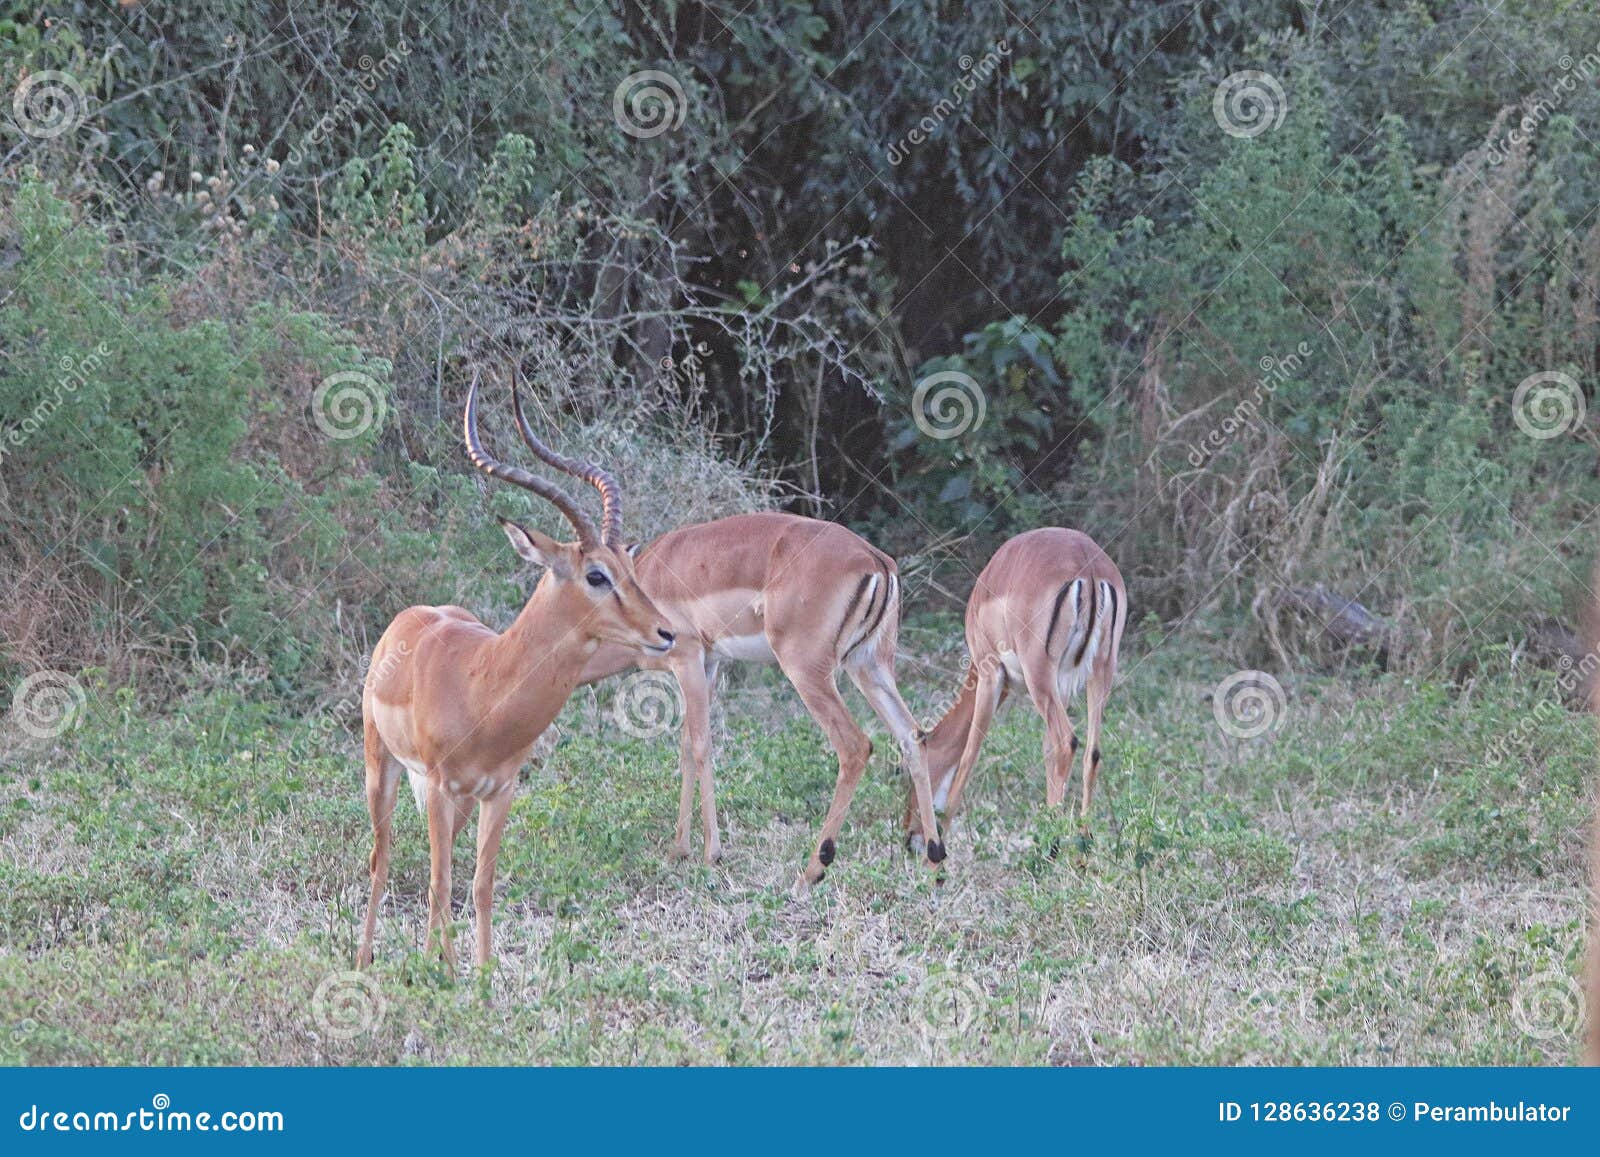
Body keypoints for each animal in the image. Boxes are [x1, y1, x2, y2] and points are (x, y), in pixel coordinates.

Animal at [357, 369, 676, 970]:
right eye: (596, 575)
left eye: (629, 564)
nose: (665, 632)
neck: (486, 685)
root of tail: (411, 618)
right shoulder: (441, 786)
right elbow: (440, 880)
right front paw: (441, 975)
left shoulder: (497, 792)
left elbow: (479, 884)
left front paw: (478, 977)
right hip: (384, 769)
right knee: (383, 859)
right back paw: (366, 960)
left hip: (448, 799)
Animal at [910, 527, 1126, 848]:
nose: (910, 837)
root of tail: (1089, 567)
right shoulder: (1059, 686)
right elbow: (1046, 749)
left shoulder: (989, 674)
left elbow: (970, 752)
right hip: (1100, 670)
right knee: (1091, 751)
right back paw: (1083, 840)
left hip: (1039, 675)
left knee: (1067, 742)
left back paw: (1054, 844)